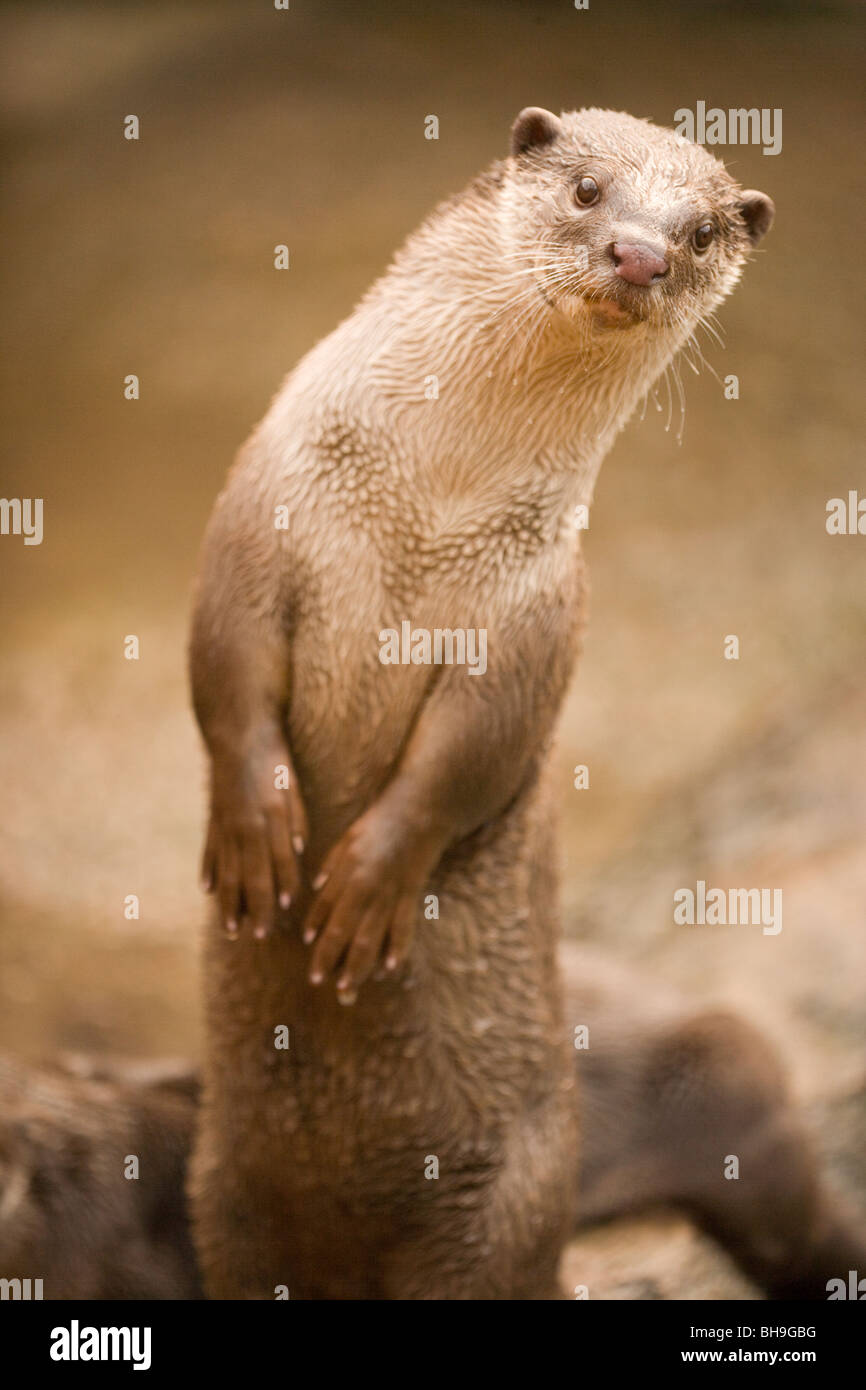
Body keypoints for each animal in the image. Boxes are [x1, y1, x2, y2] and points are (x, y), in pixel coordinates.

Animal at [188, 106, 778, 1299]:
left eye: (698, 232)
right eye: (589, 189)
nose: (638, 255)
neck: (421, 508)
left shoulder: (532, 613)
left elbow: (469, 759)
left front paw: (366, 883)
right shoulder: (262, 502)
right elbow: (224, 669)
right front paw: (258, 827)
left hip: (508, 1205)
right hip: (217, 1195)